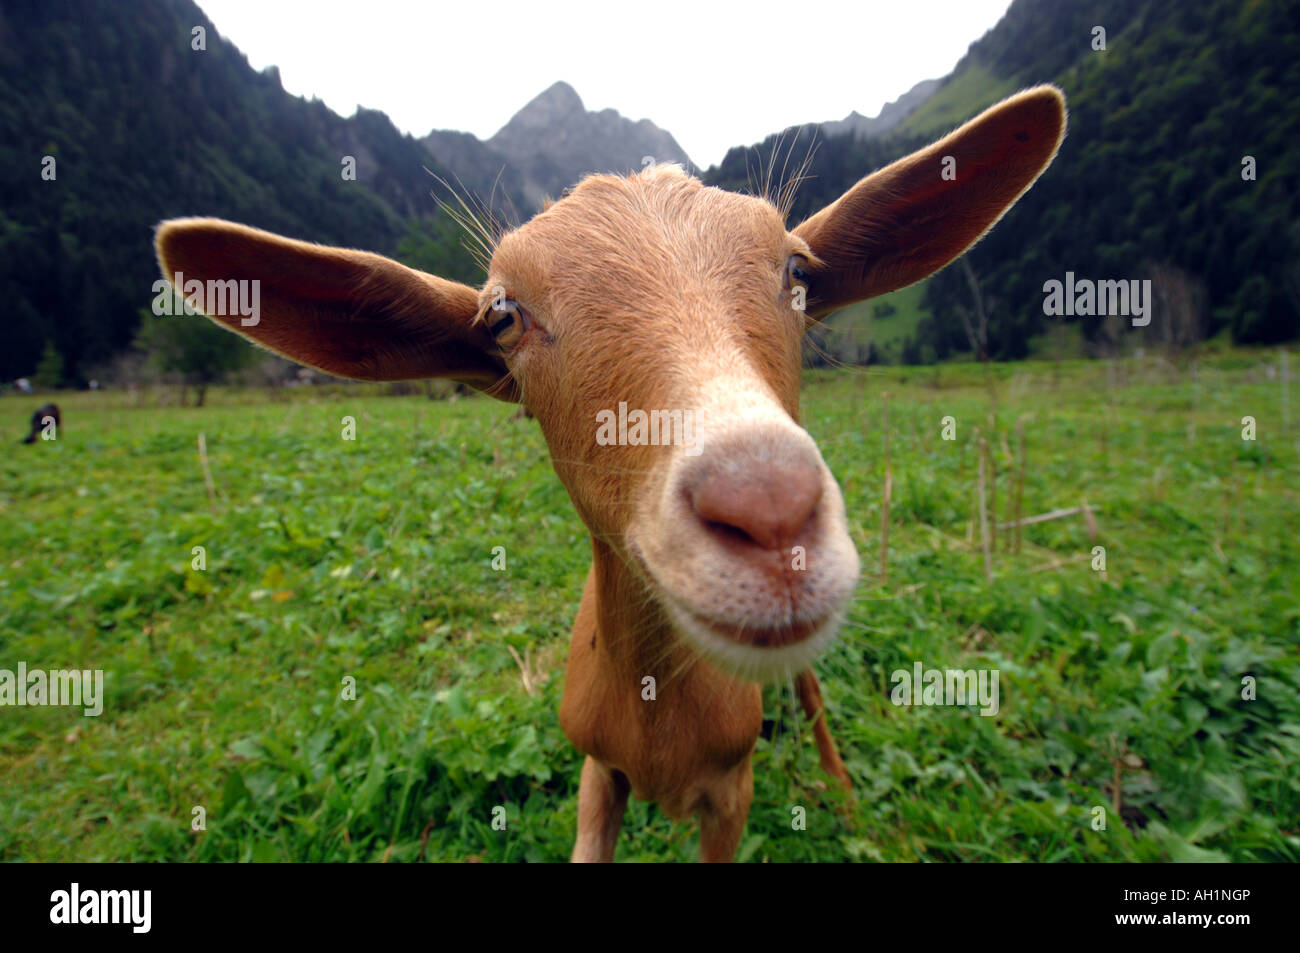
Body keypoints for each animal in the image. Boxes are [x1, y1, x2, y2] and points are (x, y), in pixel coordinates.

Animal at [155, 86, 1066, 861]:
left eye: (799, 273)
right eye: (503, 317)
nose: (769, 506)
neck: (659, 713)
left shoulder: (732, 792)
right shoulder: (597, 773)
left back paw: (840, 790)